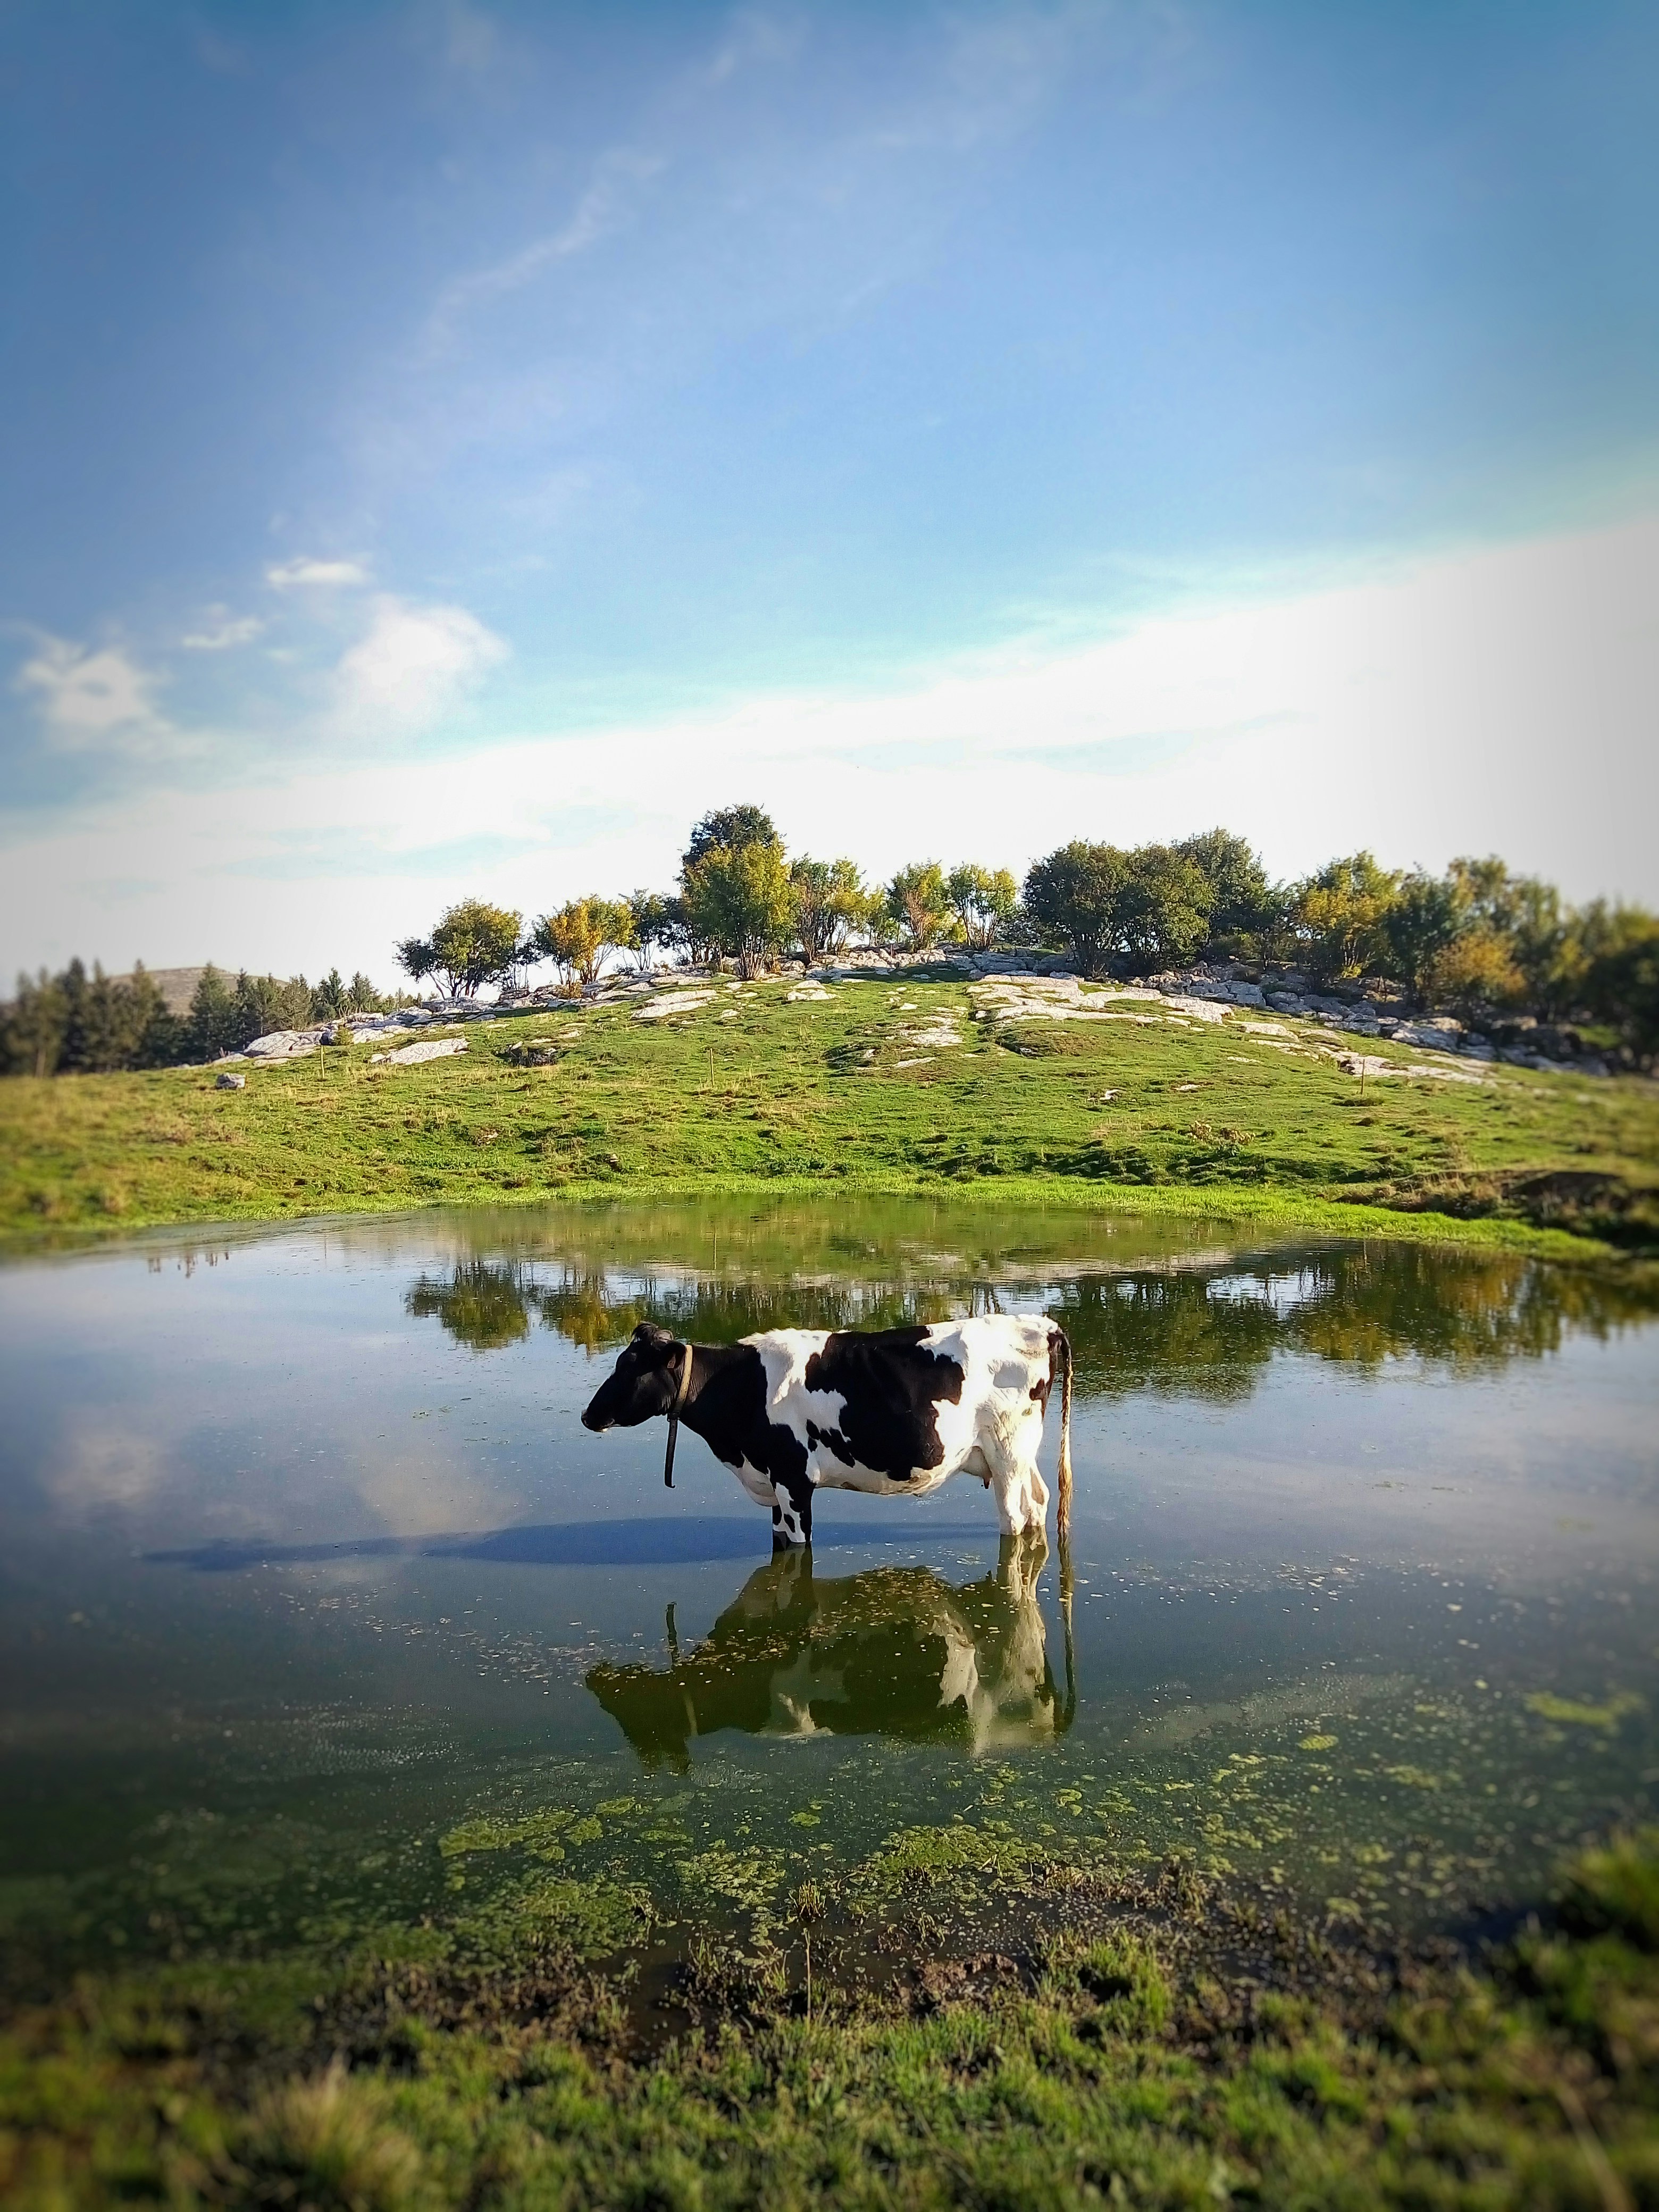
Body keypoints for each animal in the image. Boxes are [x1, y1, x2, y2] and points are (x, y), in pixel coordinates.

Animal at [580, 1314, 1073, 1547]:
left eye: (630, 1367)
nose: (587, 1417)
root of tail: (1041, 1324)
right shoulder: (774, 1484)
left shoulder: (795, 1481)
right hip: (1016, 1455)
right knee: (1039, 1504)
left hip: (1008, 1451)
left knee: (1015, 1518)